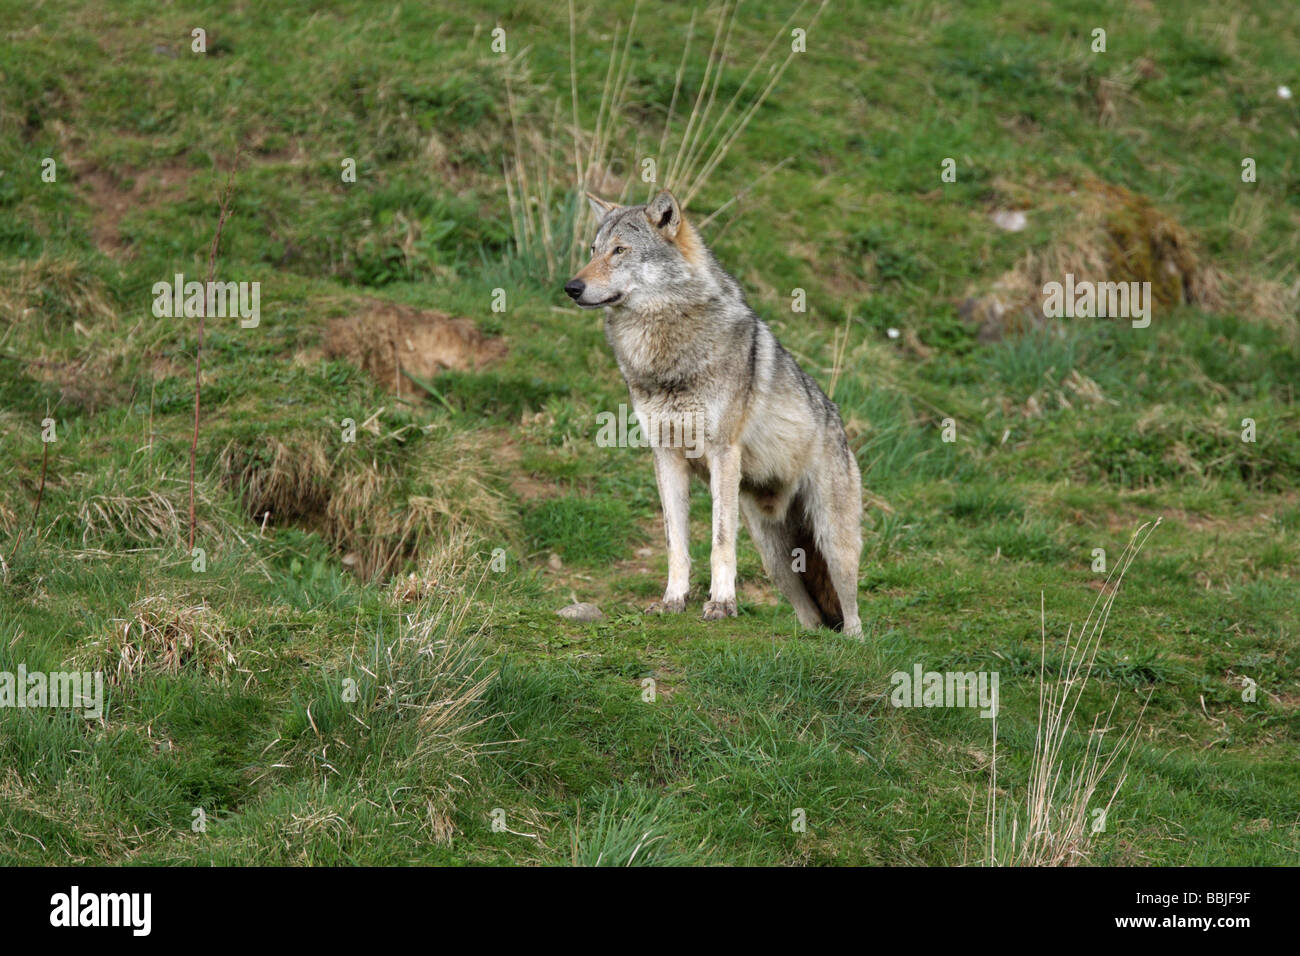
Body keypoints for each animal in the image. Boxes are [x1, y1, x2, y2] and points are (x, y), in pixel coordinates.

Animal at [565, 190, 863, 636]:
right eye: (593, 250)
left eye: (620, 251)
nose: (571, 287)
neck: (665, 353)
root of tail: (838, 422)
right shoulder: (665, 455)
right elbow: (676, 544)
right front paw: (672, 601)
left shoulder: (722, 451)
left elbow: (720, 543)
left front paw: (721, 604)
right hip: (778, 562)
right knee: (811, 618)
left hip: (833, 545)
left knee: (853, 615)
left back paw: (852, 642)